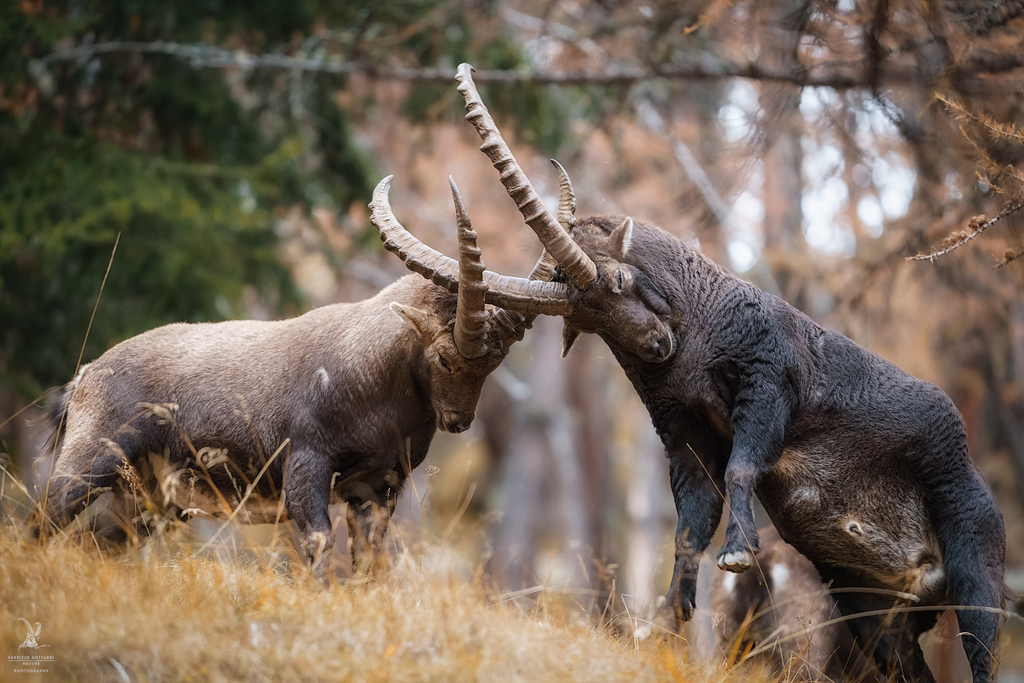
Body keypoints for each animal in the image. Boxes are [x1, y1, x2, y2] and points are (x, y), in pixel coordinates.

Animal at [34, 177, 565, 576]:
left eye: (492, 366)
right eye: (445, 359)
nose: (459, 421)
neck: (371, 381)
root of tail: (85, 377)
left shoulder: (378, 487)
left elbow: (370, 558)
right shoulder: (306, 468)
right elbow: (318, 544)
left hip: (148, 502)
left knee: (92, 544)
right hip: (88, 465)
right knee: (41, 522)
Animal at [453, 63, 1006, 682]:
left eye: (617, 279)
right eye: (581, 319)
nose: (655, 346)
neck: (701, 325)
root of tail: (924, 577)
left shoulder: (765, 386)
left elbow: (742, 468)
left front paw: (738, 553)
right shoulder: (685, 431)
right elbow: (691, 521)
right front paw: (674, 606)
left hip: (974, 554)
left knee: (981, 645)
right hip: (875, 619)